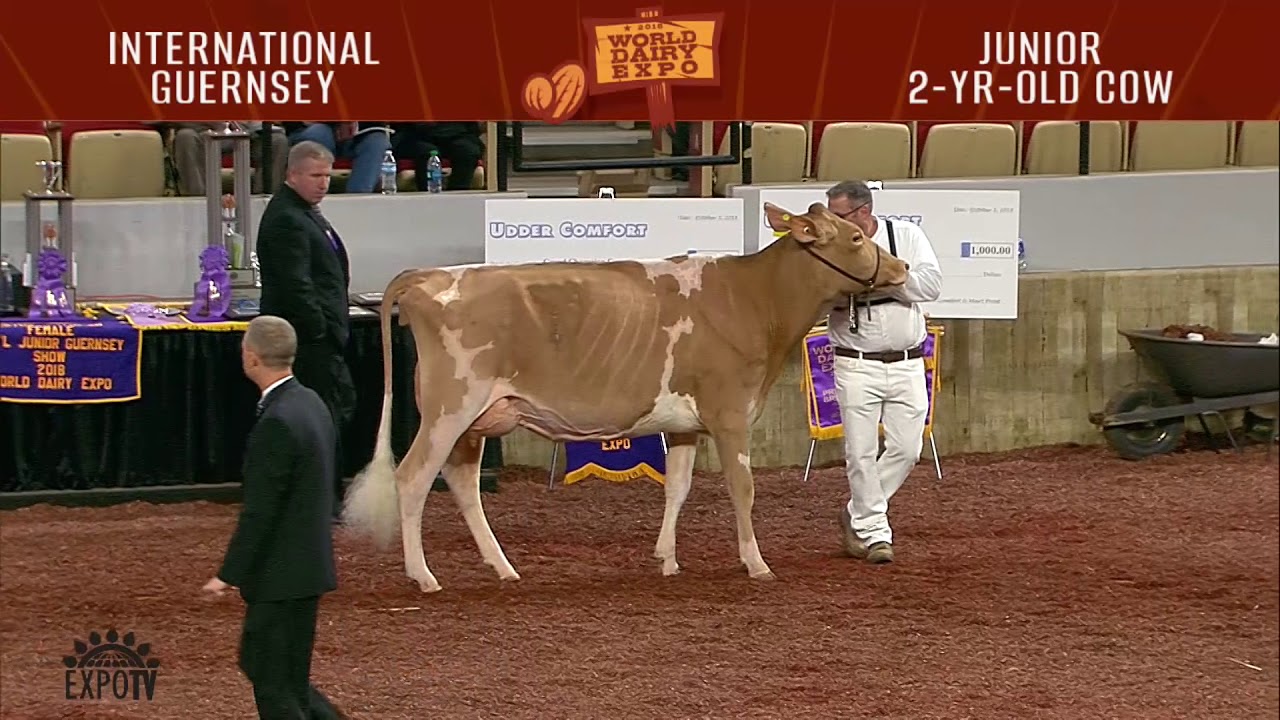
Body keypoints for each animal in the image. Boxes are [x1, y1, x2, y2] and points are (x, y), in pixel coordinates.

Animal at [341, 201, 911, 593]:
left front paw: (667, 559)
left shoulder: (685, 424)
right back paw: (423, 576)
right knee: (413, 478)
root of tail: (430, 277)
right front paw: (756, 563)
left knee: (462, 483)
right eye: (856, 236)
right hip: (449, 407)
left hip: (479, 417)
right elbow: (742, 489)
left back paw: (503, 568)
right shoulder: (730, 414)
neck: (754, 300)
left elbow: (677, 488)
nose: (903, 268)